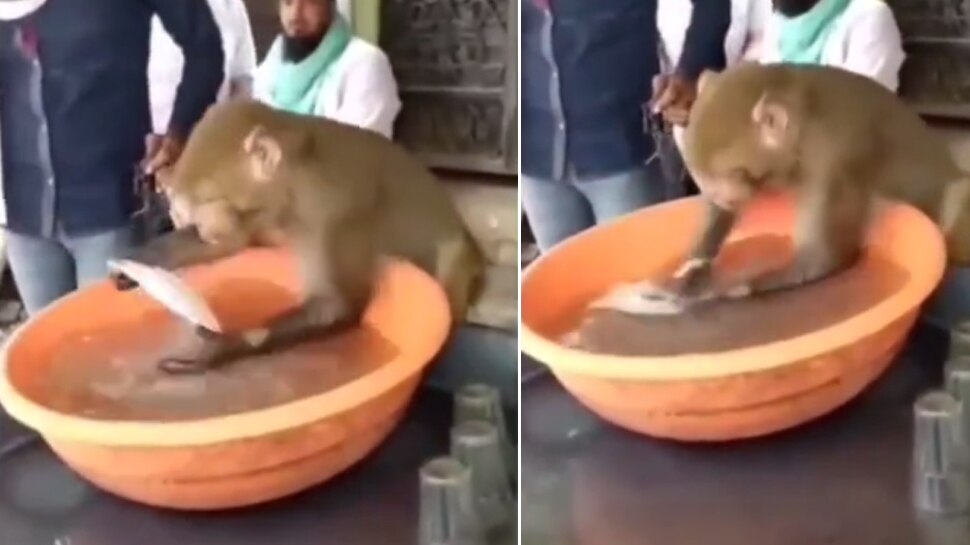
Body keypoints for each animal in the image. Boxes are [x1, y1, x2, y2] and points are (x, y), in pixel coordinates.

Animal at [112, 99, 484, 374]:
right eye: (191, 221)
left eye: (210, 214)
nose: (206, 229)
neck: (289, 188)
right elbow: (236, 246)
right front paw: (140, 262)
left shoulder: (333, 211)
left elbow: (334, 306)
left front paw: (218, 346)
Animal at [663, 62, 970, 305]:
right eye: (702, 176)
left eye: (734, 174)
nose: (717, 194)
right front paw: (693, 268)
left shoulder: (832, 157)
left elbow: (819, 260)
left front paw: (731, 285)